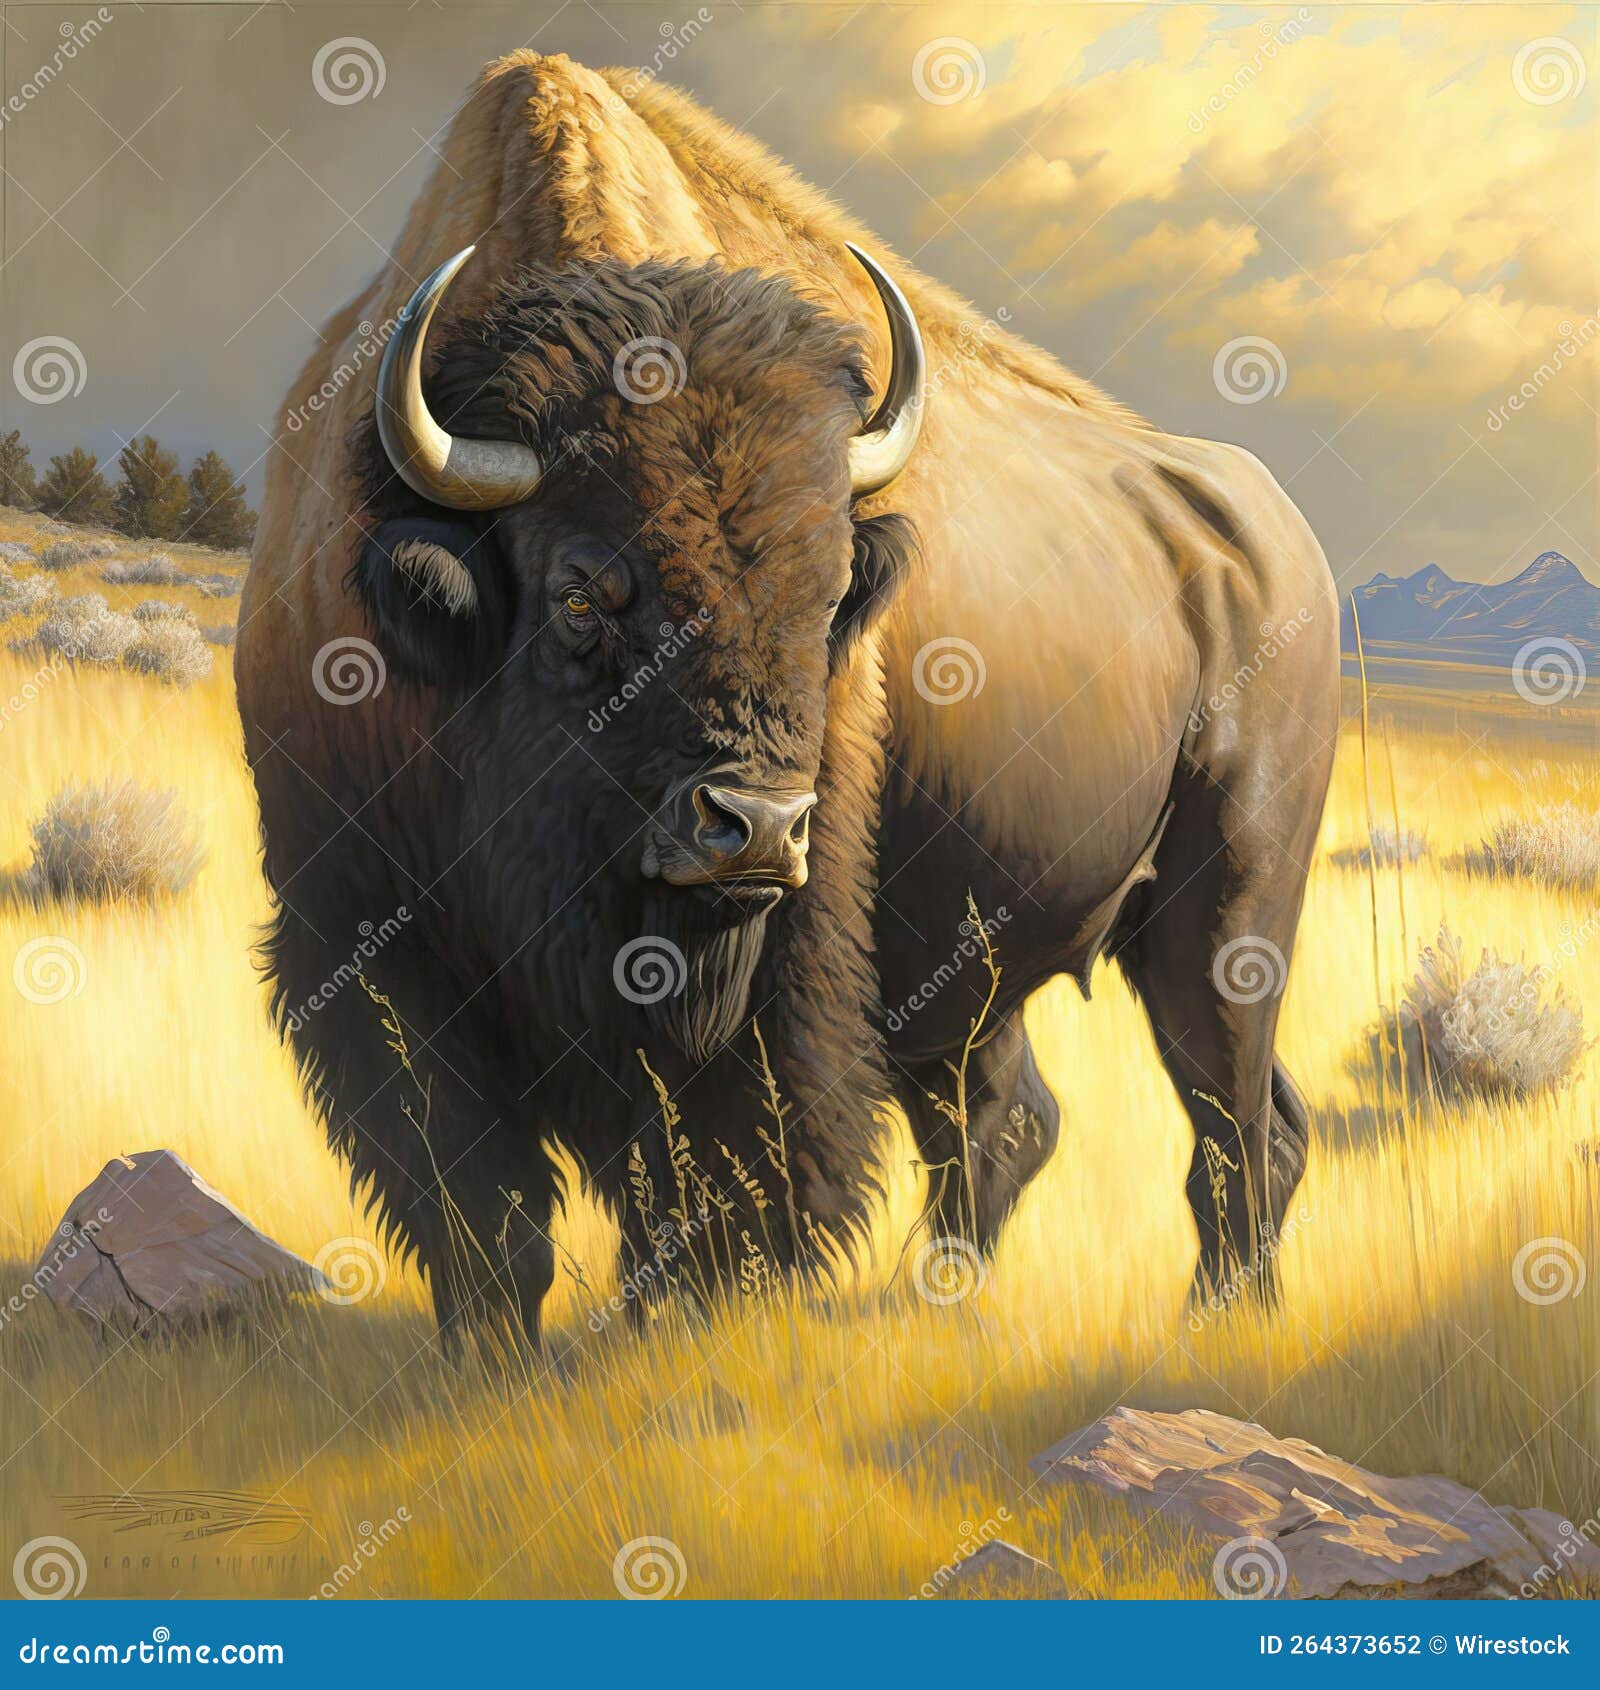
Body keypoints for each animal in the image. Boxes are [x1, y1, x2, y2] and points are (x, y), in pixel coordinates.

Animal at [238, 53, 1338, 1344]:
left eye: (827, 599)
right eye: (578, 593)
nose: (753, 825)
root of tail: (1267, 535)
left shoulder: (782, 970)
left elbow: (727, 1168)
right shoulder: (370, 943)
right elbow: (477, 1200)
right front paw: (493, 1343)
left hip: (1227, 907)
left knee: (1233, 1115)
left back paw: (1221, 1316)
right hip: (988, 959)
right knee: (1018, 1115)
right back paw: (949, 1301)